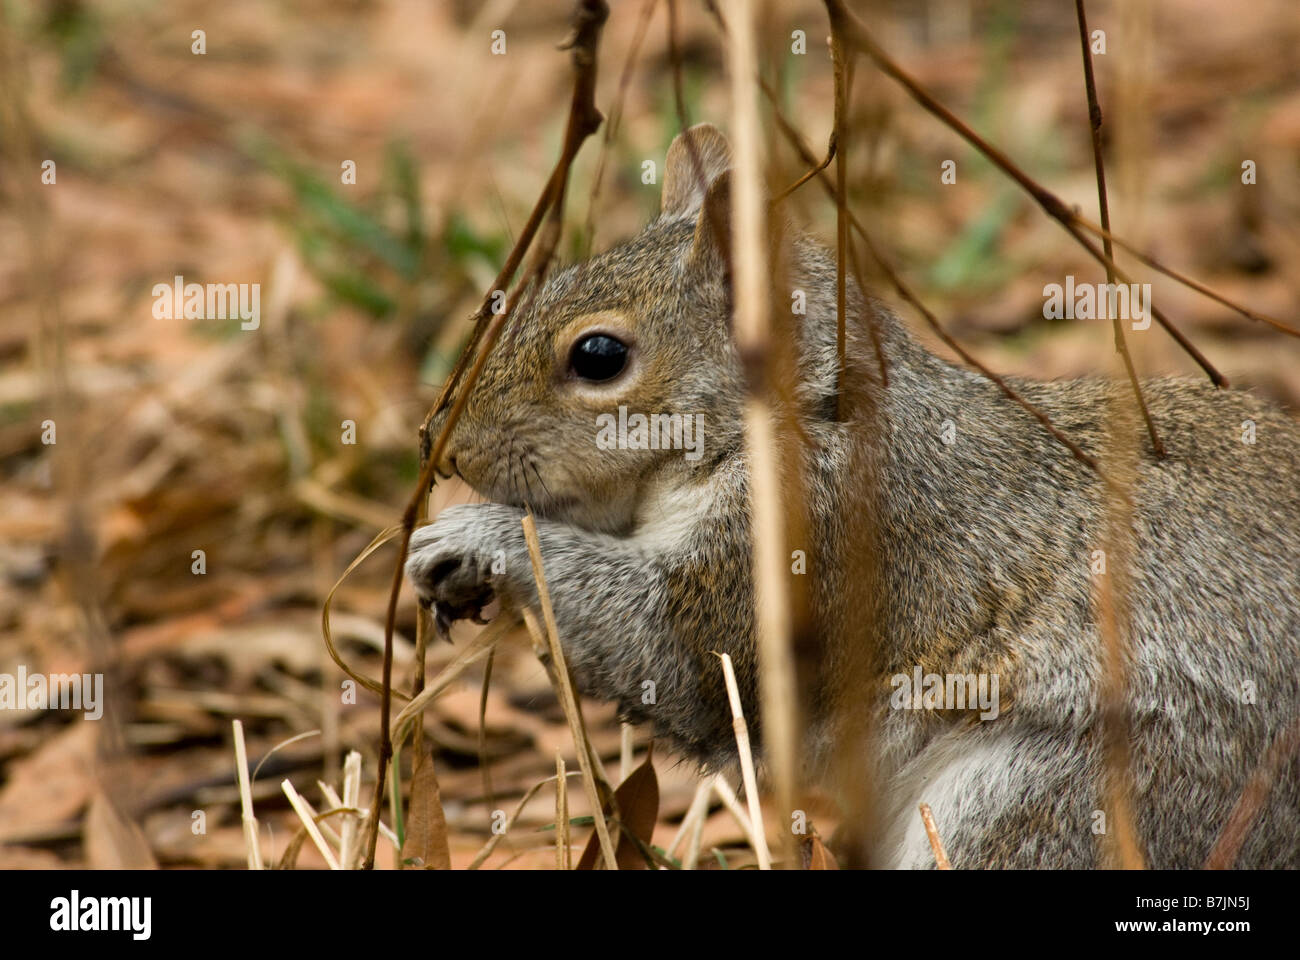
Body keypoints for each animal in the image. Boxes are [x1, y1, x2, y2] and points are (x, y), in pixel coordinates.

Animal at [406, 123, 1300, 869]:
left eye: (598, 356)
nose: (453, 447)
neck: (801, 412)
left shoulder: (813, 538)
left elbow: (674, 650)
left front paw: (475, 536)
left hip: (1065, 799)